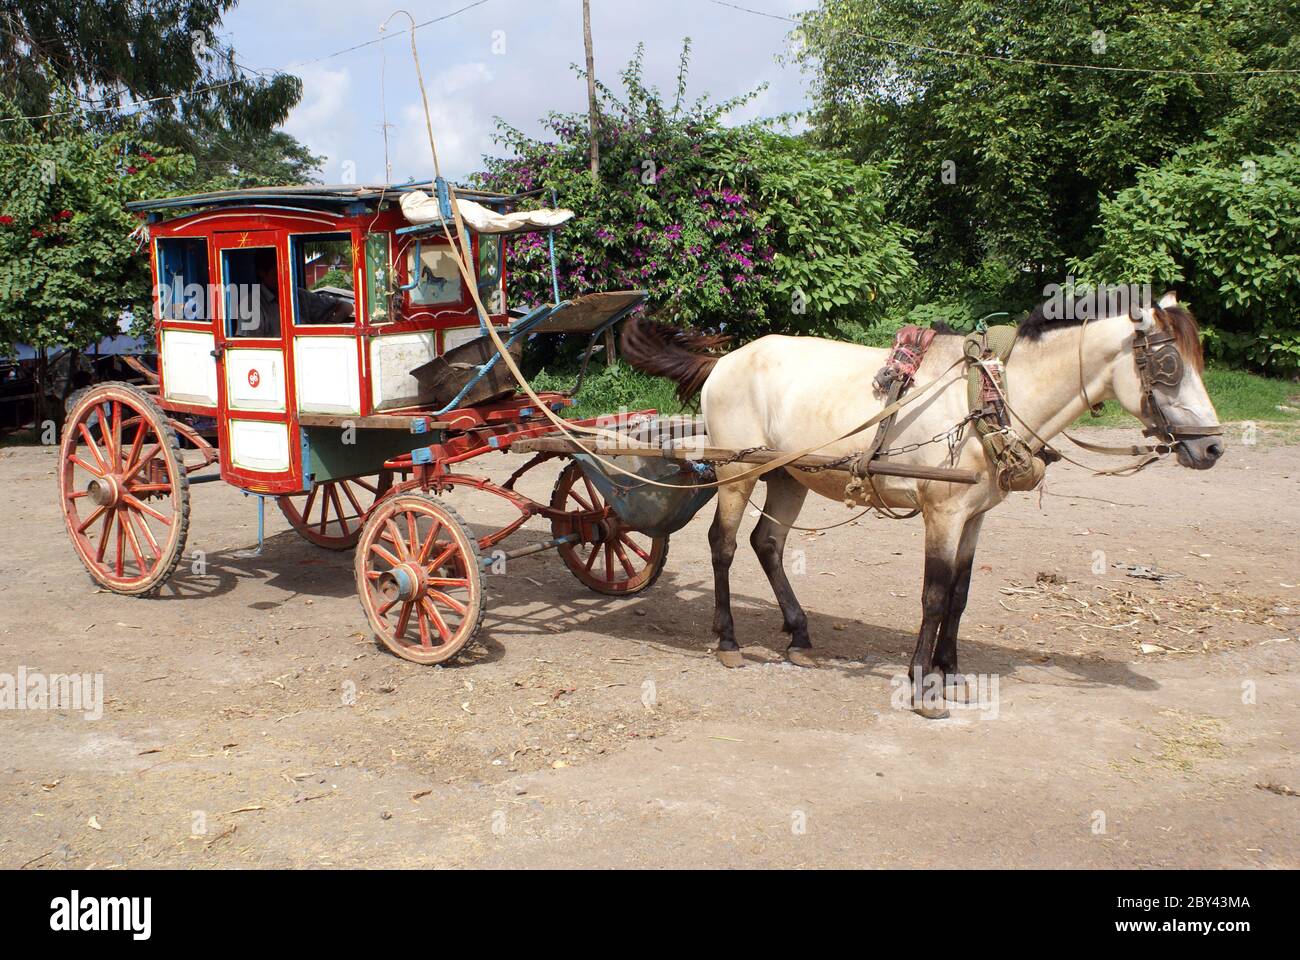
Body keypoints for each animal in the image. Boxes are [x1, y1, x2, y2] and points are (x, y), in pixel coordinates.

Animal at [620, 292, 1224, 718]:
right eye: (1168, 365)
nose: (1213, 447)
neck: (992, 398)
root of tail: (725, 361)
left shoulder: (975, 516)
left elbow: (959, 596)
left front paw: (952, 674)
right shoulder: (943, 512)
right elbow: (933, 597)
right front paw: (922, 686)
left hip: (789, 474)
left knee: (766, 543)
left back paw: (800, 635)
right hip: (736, 471)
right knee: (722, 545)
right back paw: (727, 639)